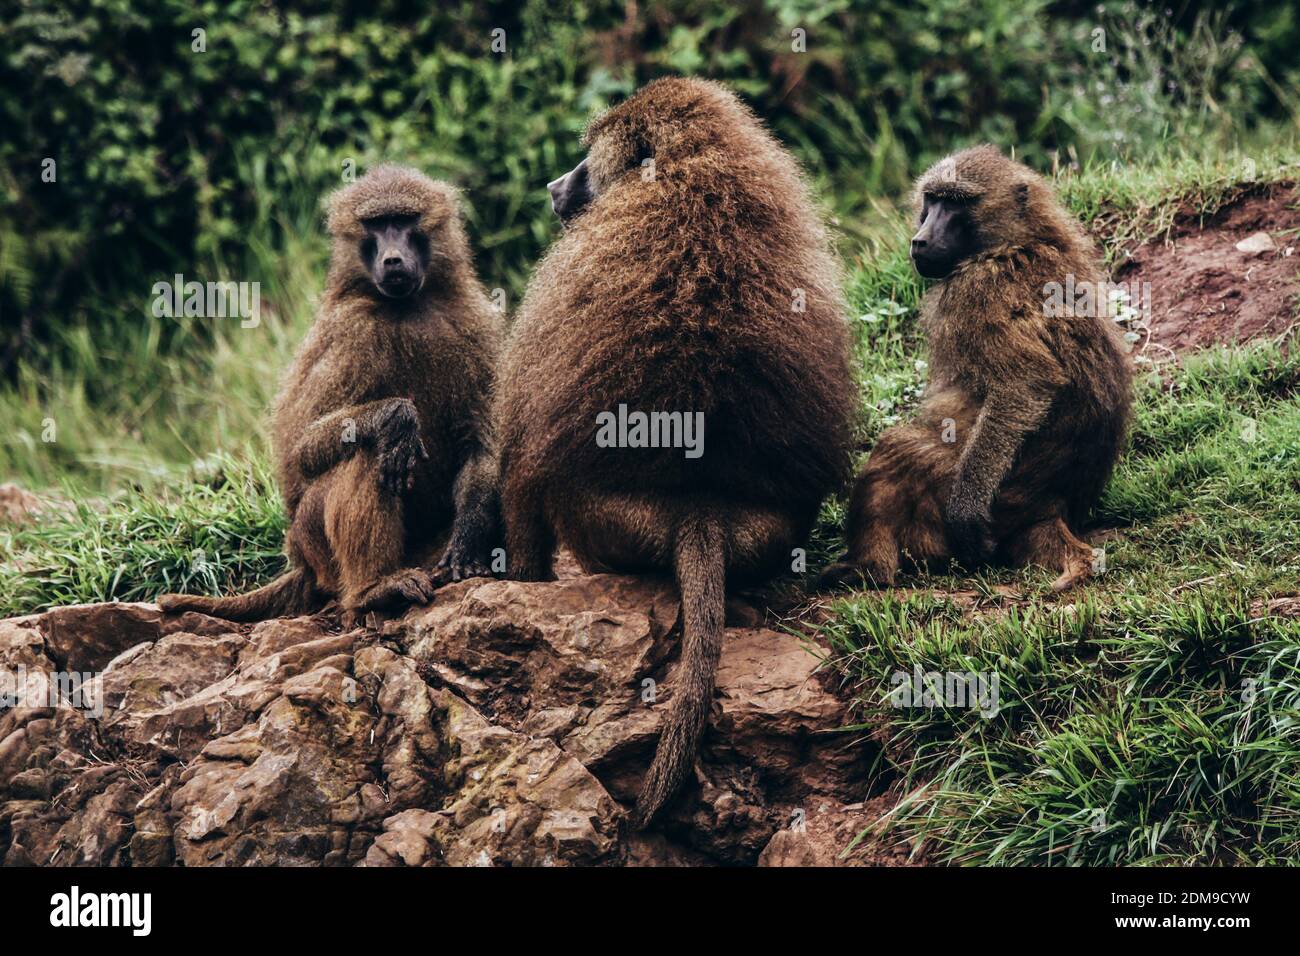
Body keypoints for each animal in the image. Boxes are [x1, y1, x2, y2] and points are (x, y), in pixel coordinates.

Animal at [160, 165, 502, 624]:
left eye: (404, 220)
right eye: (376, 224)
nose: (392, 259)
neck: (409, 305)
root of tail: (300, 562)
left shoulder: (476, 322)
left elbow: (486, 440)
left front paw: (469, 540)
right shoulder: (351, 332)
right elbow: (302, 449)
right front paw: (398, 416)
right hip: (310, 537)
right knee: (369, 450)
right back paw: (373, 588)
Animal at [496, 78, 855, 827]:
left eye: (587, 160)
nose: (554, 187)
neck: (690, 171)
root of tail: (699, 503)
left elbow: (519, 465)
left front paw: (519, 579)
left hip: (601, 522)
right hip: (768, 531)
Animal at [820, 145, 1132, 593]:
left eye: (957, 203)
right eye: (932, 199)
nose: (920, 240)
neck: (1019, 239)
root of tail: (1048, 508)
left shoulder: (976, 290)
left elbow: (1026, 382)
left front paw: (966, 508)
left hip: (977, 505)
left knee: (898, 450)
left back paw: (868, 569)